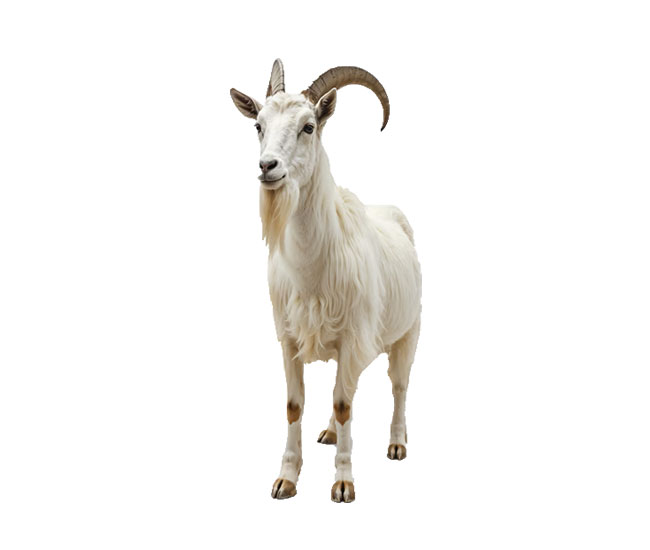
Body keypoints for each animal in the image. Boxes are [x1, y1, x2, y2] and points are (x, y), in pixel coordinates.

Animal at [230, 60, 421, 503]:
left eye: (308, 126)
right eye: (258, 125)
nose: (268, 167)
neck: (313, 267)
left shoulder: (354, 336)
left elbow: (344, 404)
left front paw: (343, 484)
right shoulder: (289, 338)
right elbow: (296, 405)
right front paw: (286, 479)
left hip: (408, 332)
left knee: (398, 386)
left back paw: (397, 443)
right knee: (345, 386)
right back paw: (332, 434)